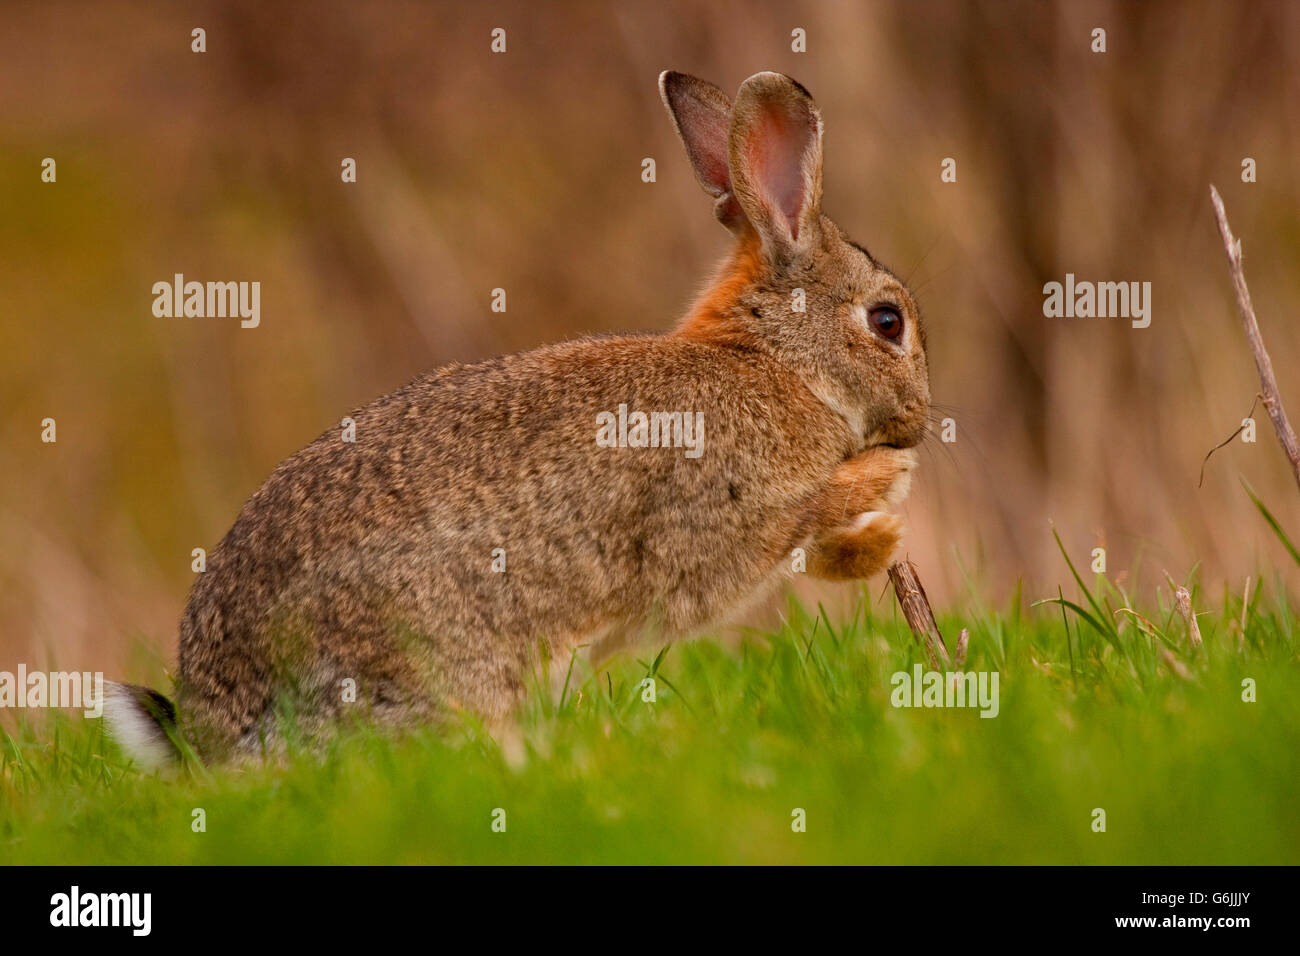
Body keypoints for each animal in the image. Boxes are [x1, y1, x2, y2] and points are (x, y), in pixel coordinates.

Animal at [103, 70, 931, 766]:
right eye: (887, 321)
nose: (922, 420)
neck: (776, 360)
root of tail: (217, 735)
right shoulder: (711, 515)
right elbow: (781, 528)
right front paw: (886, 499)